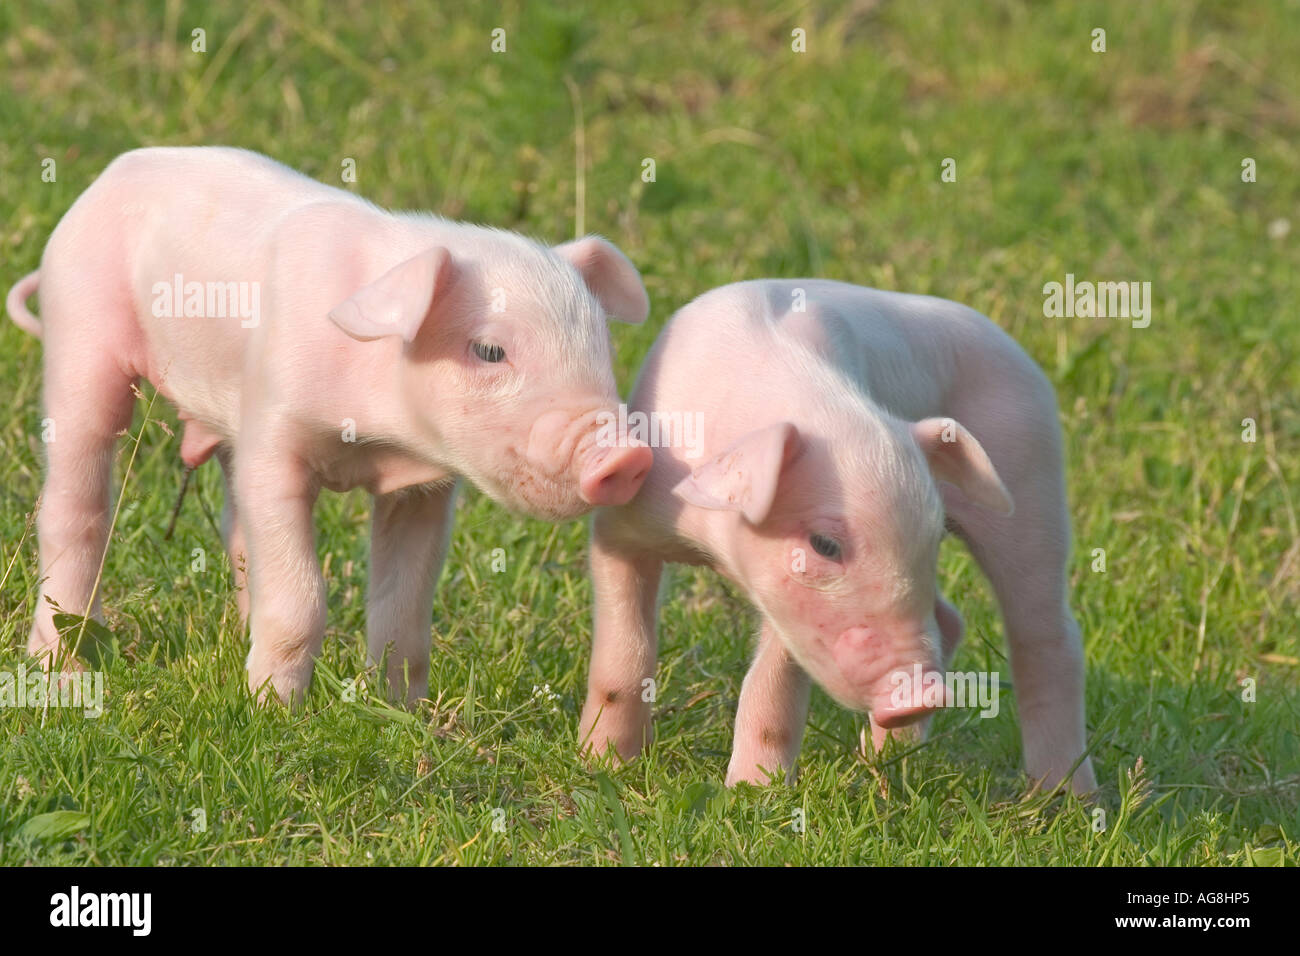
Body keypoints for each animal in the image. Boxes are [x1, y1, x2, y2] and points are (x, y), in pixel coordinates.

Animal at [7, 146, 652, 705]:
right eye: (489, 350)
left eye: (601, 346)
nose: (628, 457)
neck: (377, 442)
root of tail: (108, 176)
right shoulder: (274, 431)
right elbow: (302, 596)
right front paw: (272, 711)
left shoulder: (423, 490)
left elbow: (403, 611)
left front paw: (401, 712)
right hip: (80, 336)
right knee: (74, 503)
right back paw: (59, 668)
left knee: (236, 532)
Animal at [578, 279, 1097, 795]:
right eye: (824, 544)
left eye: (931, 542)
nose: (923, 692)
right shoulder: (624, 527)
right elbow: (624, 652)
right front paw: (602, 764)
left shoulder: (792, 609)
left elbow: (773, 680)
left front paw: (754, 794)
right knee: (952, 620)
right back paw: (880, 757)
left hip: (1032, 479)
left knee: (1049, 636)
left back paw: (1062, 796)